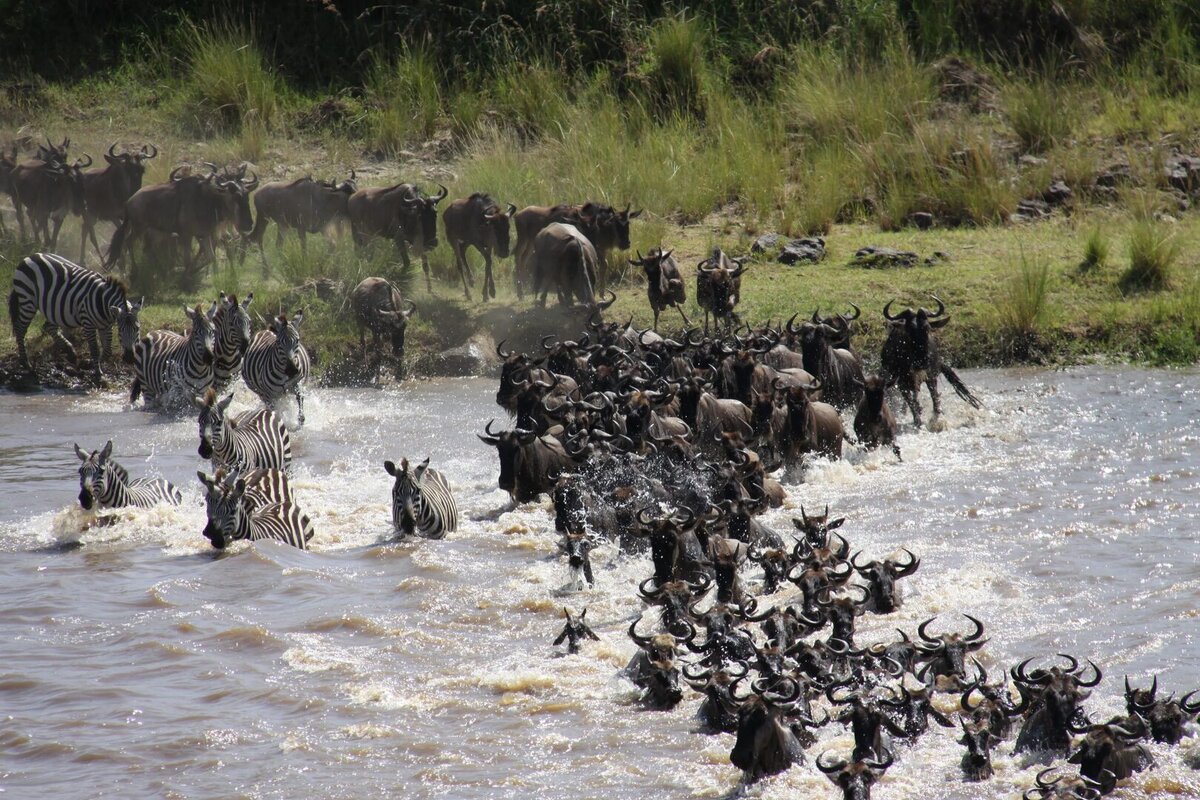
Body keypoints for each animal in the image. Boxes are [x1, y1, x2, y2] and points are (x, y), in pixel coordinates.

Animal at [9, 253, 142, 383]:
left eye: (137, 329)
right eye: (121, 331)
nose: (129, 358)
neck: (104, 305)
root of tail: (30, 257)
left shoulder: (106, 326)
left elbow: (108, 350)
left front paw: (96, 365)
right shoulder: (88, 324)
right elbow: (94, 349)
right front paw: (97, 372)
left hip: (53, 308)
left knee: (48, 327)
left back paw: (70, 352)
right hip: (28, 300)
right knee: (20, 329)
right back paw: (26, 363)